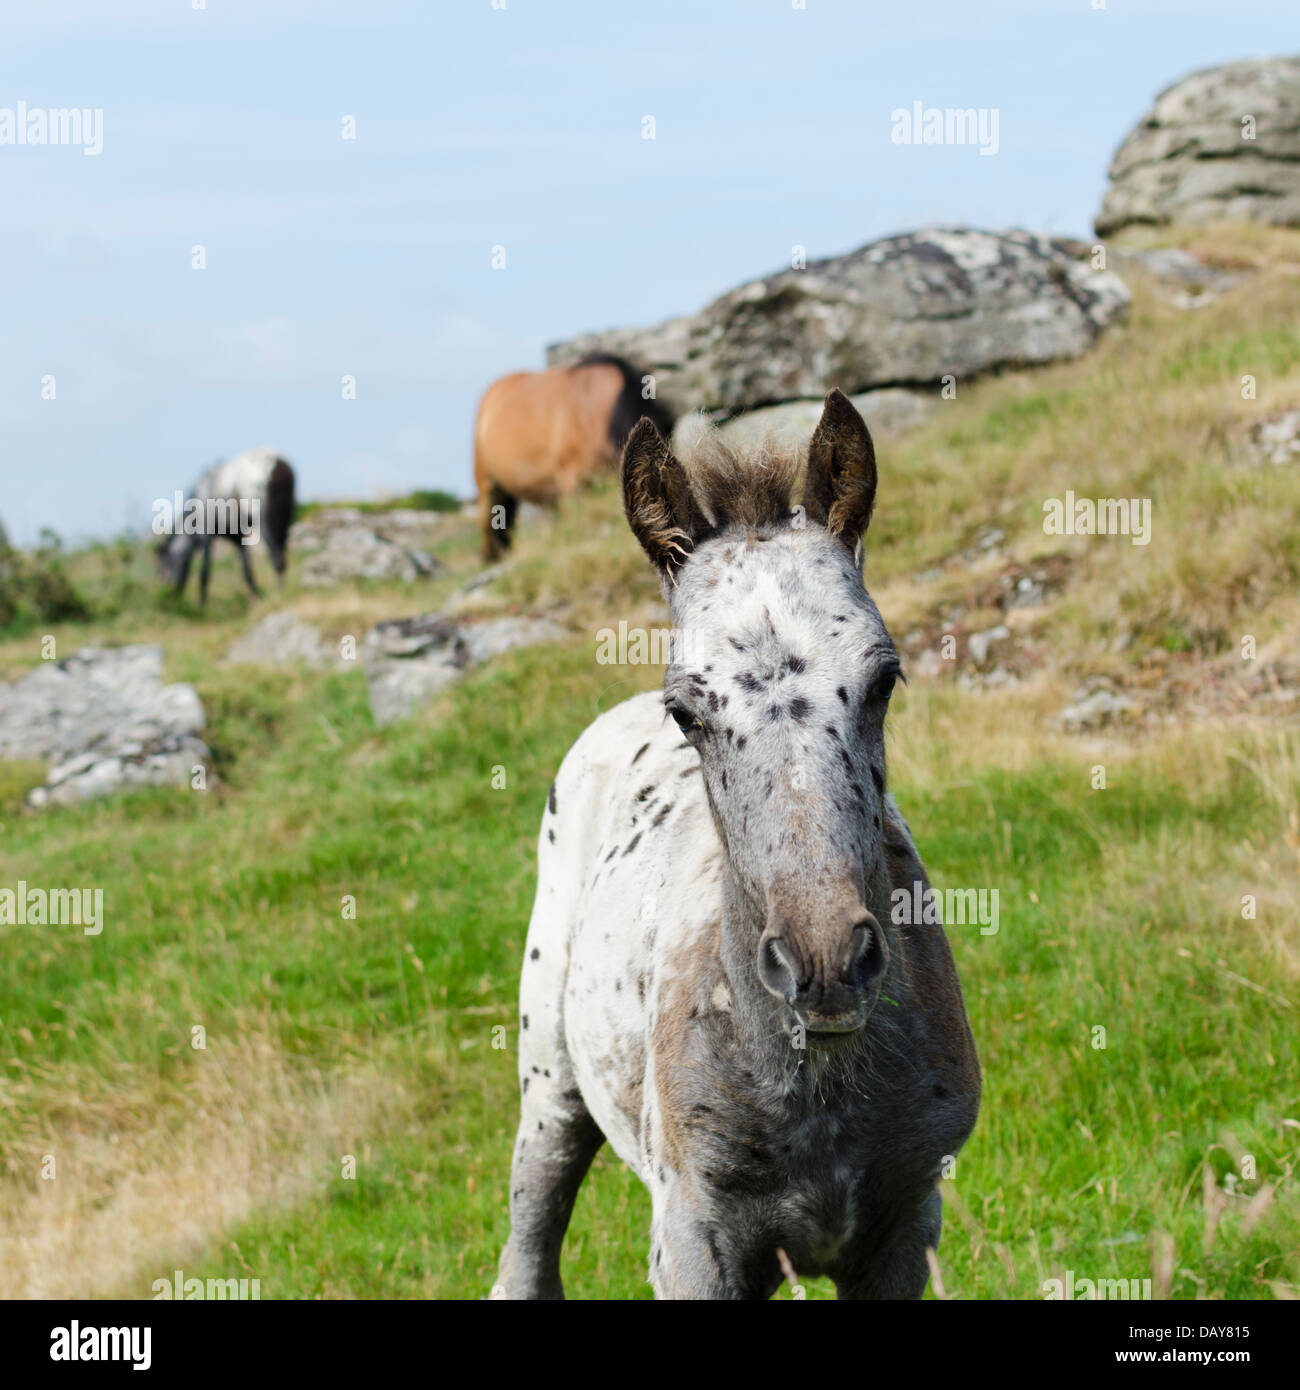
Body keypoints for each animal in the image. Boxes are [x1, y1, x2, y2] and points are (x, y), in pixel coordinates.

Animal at [157, 448, 295, 606]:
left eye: (163, 570)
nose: (169, 593)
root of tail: (275, 460)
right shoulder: (238, 538)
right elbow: (246, 570)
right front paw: (256, 596)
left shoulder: (206, 537)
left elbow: (204, 572)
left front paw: (202, 604)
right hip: (285, 517)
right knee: (281, 554)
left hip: (264, 520)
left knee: (275, 555)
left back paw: (279, 592)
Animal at [496, 391, 980, 1300]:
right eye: (687, 712)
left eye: (884, 678)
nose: (825, 963)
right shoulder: (695, 1243)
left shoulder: (906, 1227)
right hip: (549, 1093)